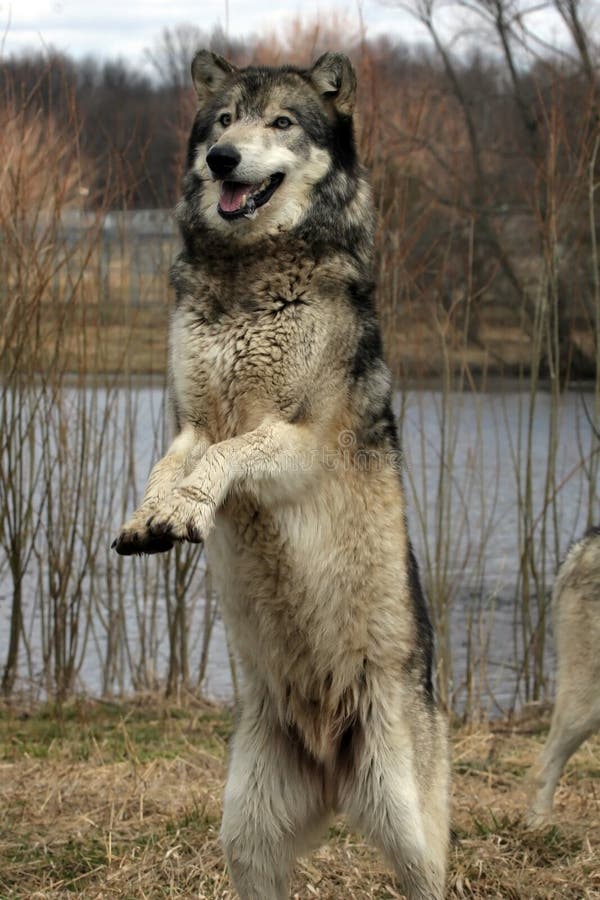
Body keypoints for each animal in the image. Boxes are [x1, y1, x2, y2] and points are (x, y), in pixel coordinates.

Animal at [113, 50, 449, 899]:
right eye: (224, 121)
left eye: (282, 123)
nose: (222, 160)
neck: (249, 276)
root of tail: (330, 757)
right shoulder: (192, 420)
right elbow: (170, 464)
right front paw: (148, 518)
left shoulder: (296, 441)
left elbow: (228, 460)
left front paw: (187, 512)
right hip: (247, 838)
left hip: (407, 827)